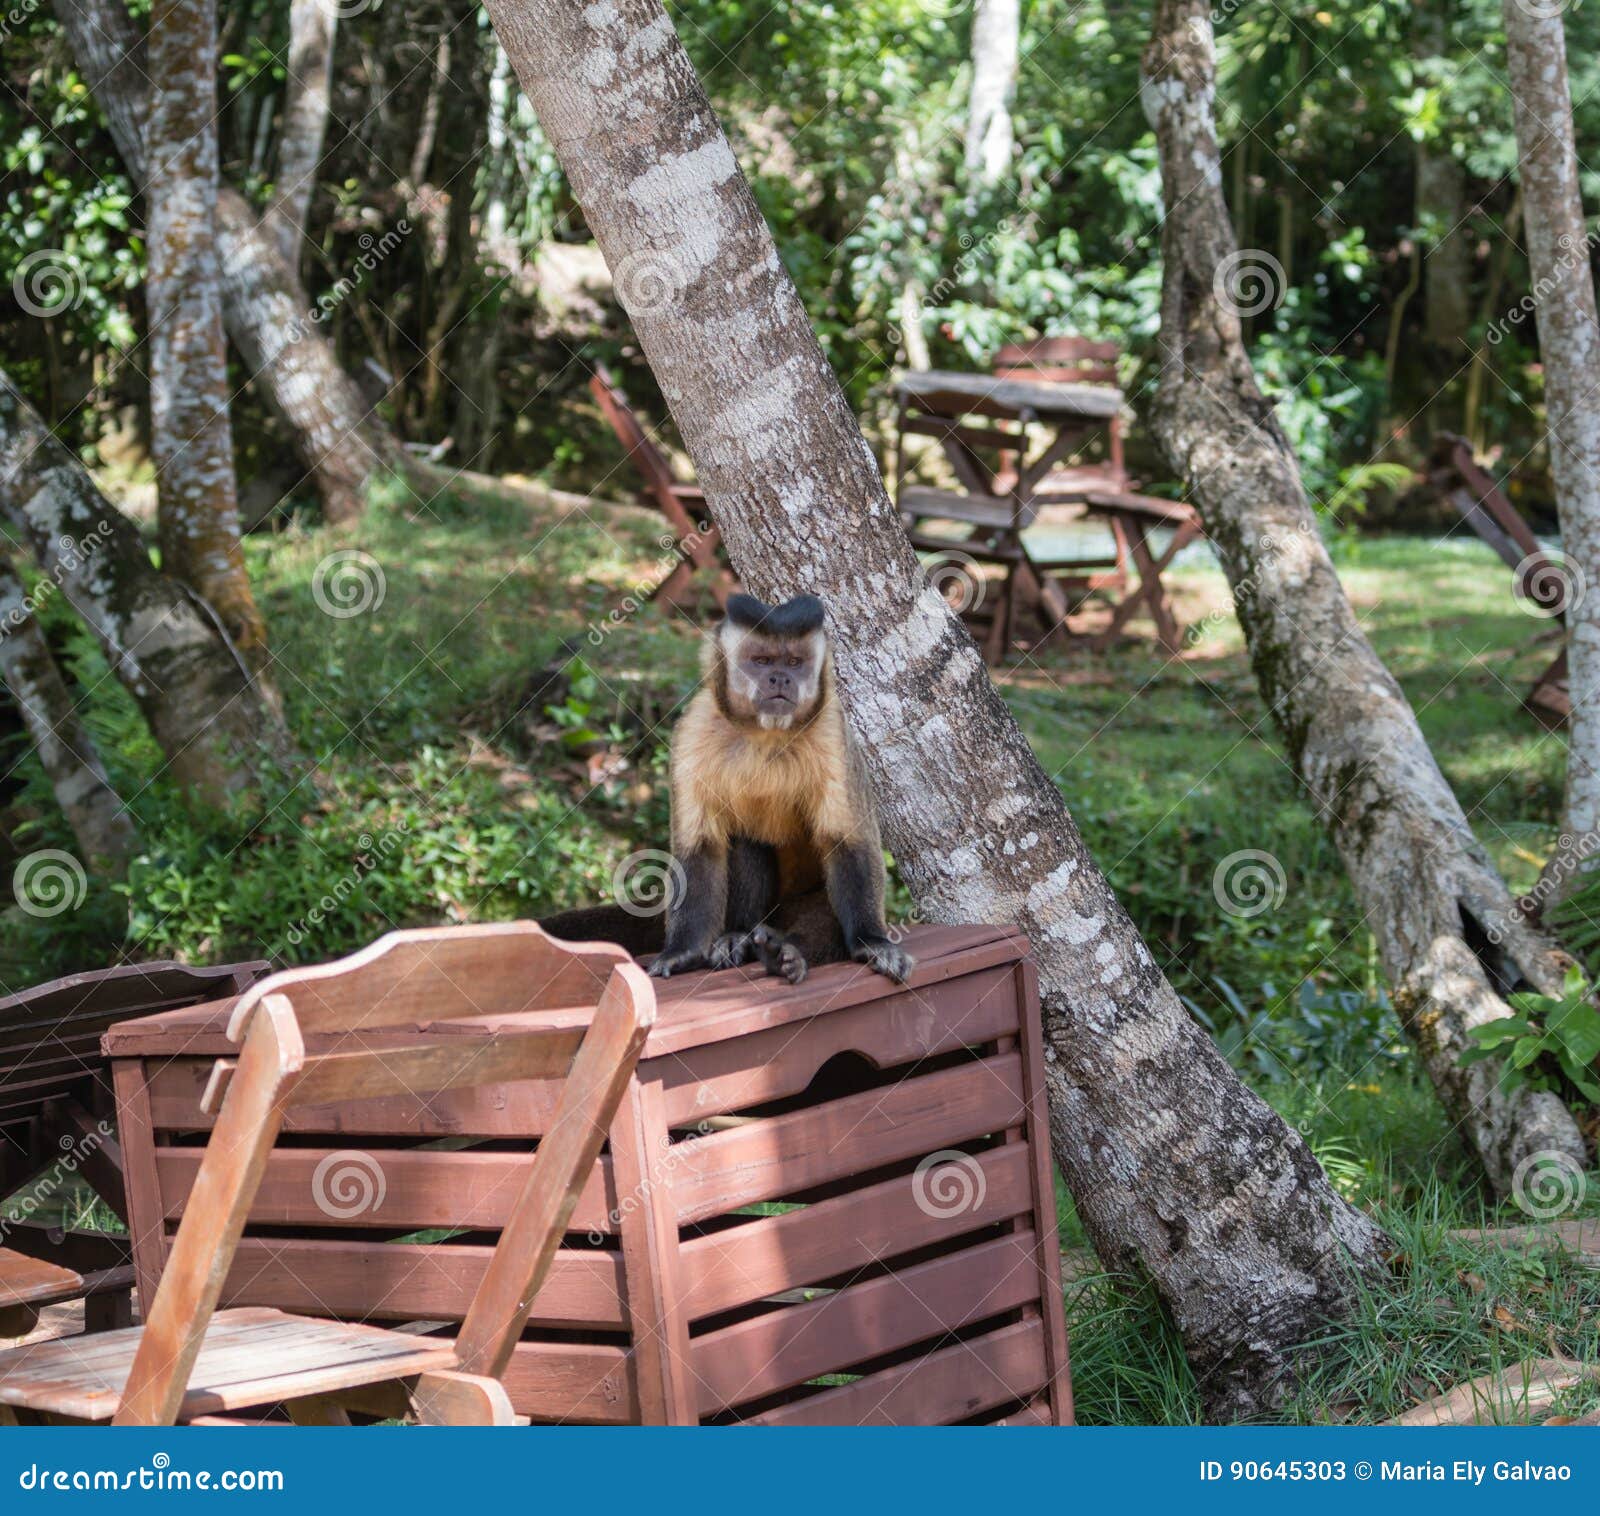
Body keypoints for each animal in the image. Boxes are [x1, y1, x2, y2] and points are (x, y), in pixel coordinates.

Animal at [539, 593, 913, 987]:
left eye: (794, 663)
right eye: (761, 661)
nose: (780, 677)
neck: (764, 733)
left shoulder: (832, 728)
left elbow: (848, 840)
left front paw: (871, 940)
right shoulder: (692, 729)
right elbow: (700, 848)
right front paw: (683, 951)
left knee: (819, 916)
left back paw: (785, 955)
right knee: (746, 839)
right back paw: (740, 934)